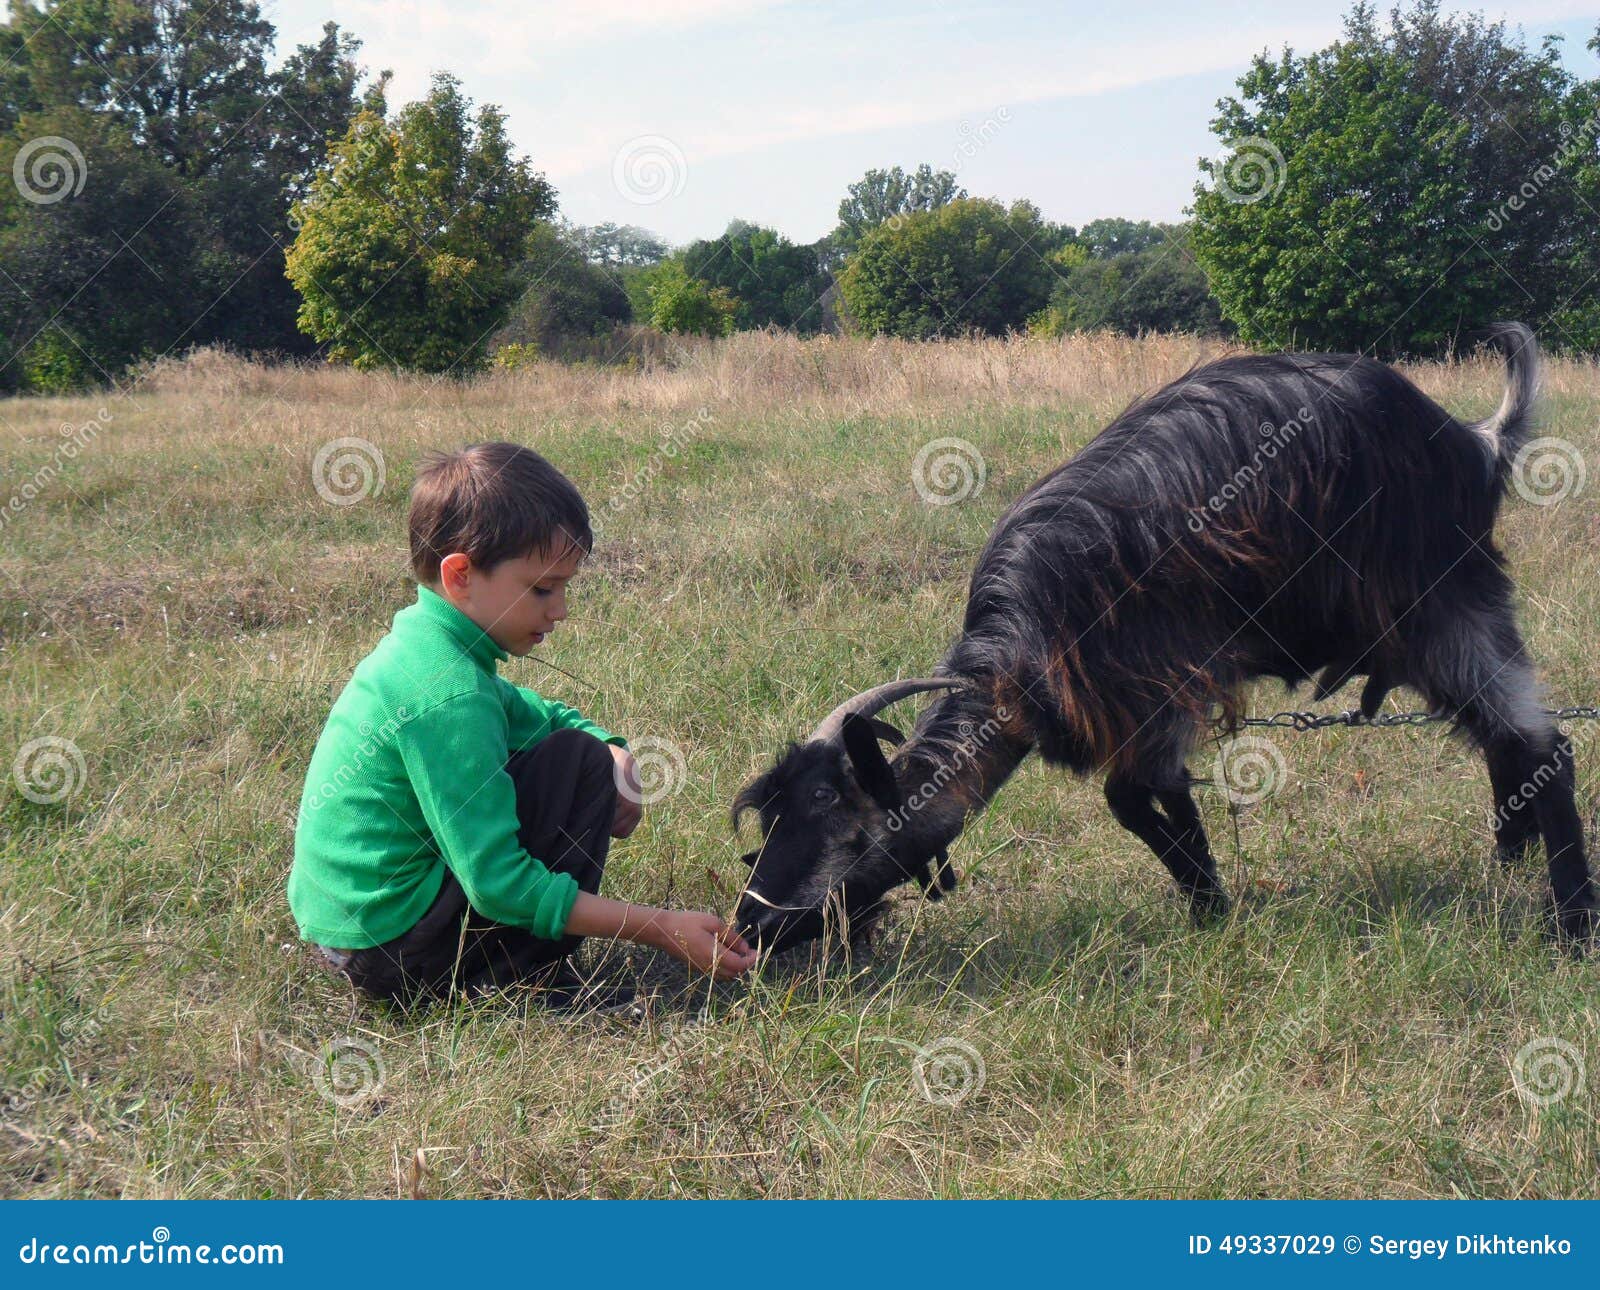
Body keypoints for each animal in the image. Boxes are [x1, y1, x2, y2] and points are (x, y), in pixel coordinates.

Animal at [731, 324, 1594, 955]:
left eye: (839, 821)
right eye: (769, 822)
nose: (752, 926)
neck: (1023, 646)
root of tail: (1474, 440)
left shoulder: (1164, 683)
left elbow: (1152, 796)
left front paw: (1212, 905)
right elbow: (1132, 804)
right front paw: (1204, 904)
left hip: (1448, 609)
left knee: (1544, 745)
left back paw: (1572, 923)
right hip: (1421, 637)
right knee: (1501, 741)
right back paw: (1507, 862)